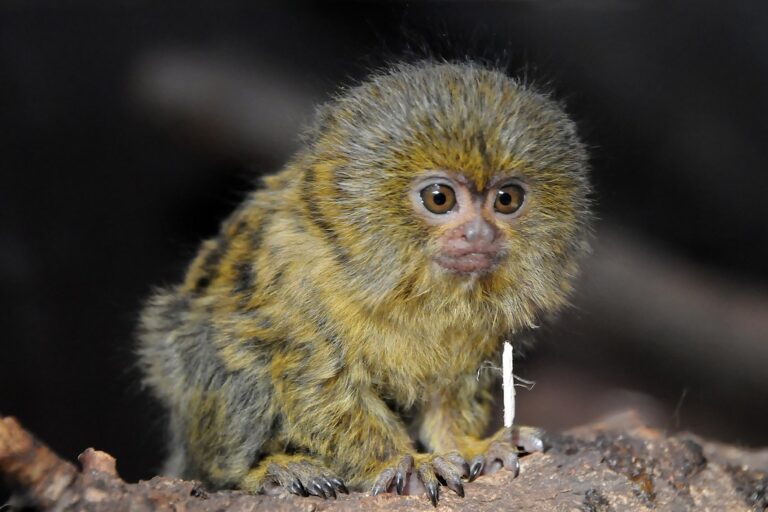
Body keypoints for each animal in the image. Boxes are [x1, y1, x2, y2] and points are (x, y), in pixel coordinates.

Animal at [137, 60, 591, 506]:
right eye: (440, 198)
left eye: (506, 200)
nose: (479, 235)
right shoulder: (295, 276)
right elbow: (319, 386)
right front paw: (406, 462)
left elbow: (450, 392)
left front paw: (471, 445)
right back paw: (267, 471)